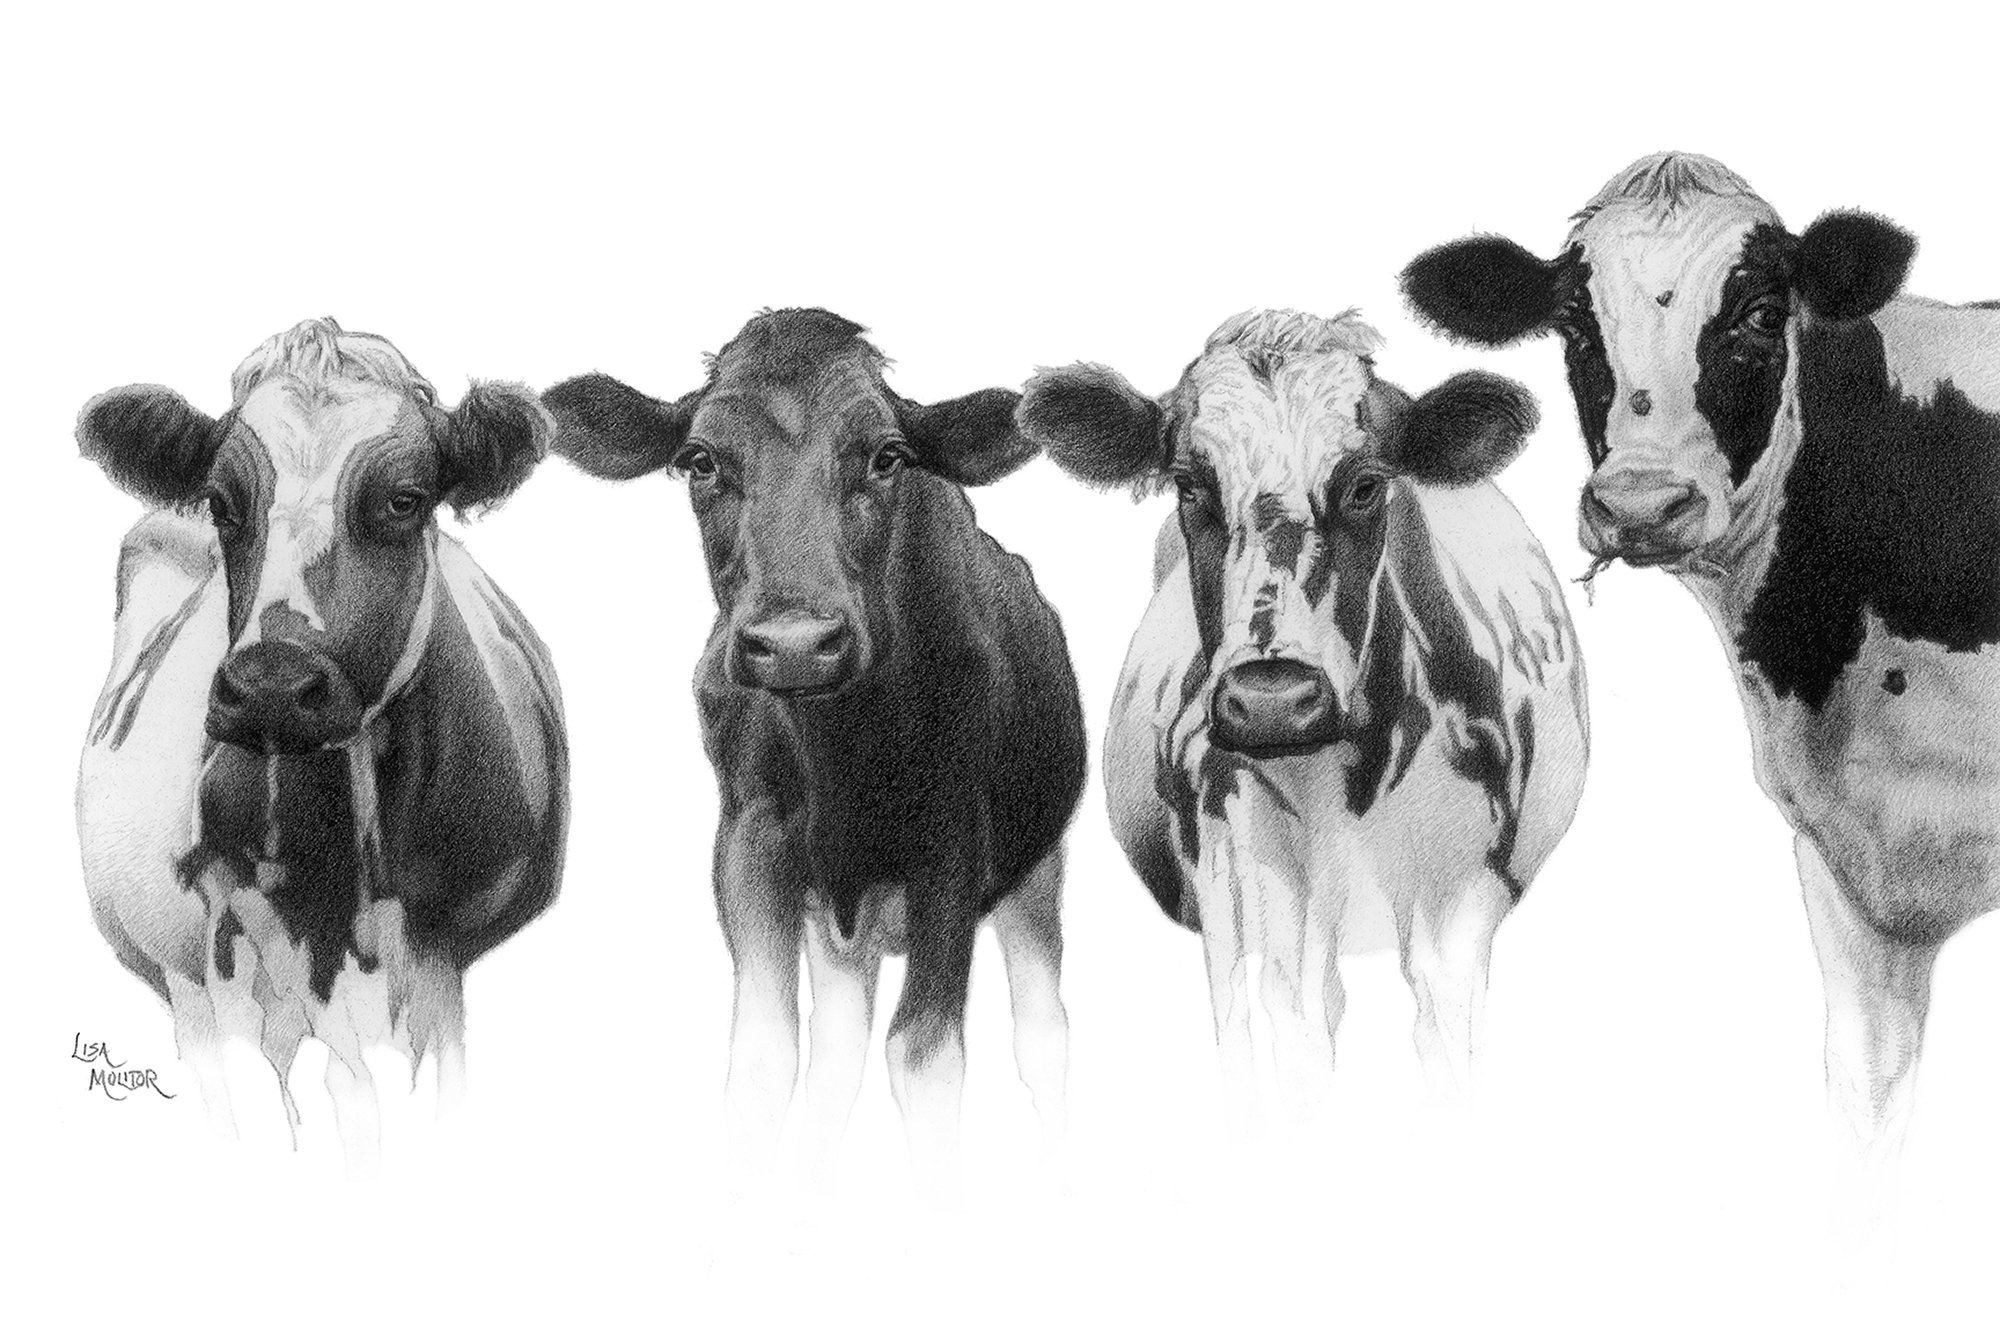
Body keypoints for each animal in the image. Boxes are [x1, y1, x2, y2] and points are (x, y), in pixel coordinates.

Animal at [76, 317, 569, 1156]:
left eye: (404, 499)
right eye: (220, 500)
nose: (270, 687)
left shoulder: (439, 962)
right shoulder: (230, 966)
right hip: (185, 984)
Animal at [542, 308, 1086, 1168]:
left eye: (886, 455)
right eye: (699, 460)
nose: (796, 643)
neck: (845, 753)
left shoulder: (951, 845)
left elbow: (926, 1054)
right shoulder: (750, 842)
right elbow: (765, 1058)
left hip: (1037, 863)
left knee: (1043, 1037)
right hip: (840, 922)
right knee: (838, 1048)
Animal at [1017, 309, 1588, 1112]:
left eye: (1366, 485)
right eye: (1189, 486)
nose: (1273, 701)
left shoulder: (1466, 896)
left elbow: (1447, 1045)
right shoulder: (1241, 869)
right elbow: (1286, 1040)